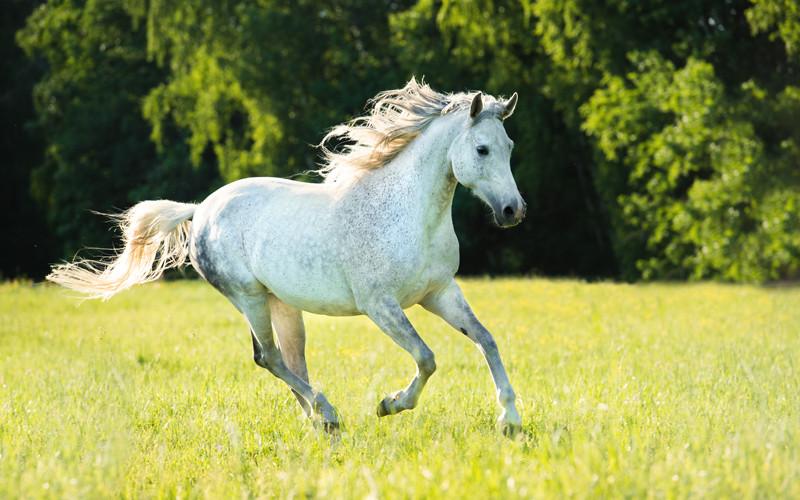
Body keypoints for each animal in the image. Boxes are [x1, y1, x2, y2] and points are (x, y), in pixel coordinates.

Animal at [48, 78, 526, 436]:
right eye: (482, 149)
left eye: (509, 146)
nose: (512, 211)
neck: (407, 213)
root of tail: (200, 209)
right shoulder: (381, 305)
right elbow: (427, 358)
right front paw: (390, 404)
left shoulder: (439, 292)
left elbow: (486, 339)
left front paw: (510, 420)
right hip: (248, 297)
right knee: (269, 357)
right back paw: (328, 413)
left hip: (282, 303)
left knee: (291, 361)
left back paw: (319, 421)